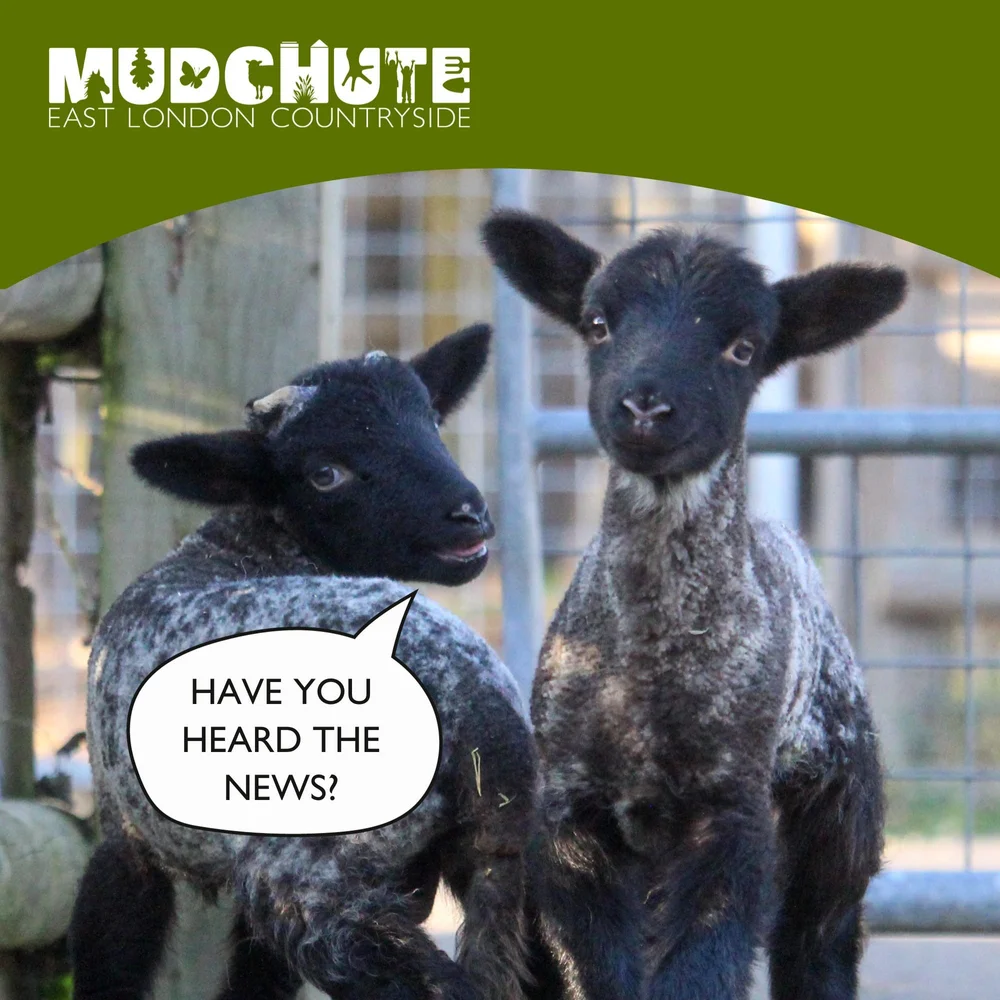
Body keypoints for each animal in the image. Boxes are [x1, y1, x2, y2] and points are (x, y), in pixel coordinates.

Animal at [69, 324, 537, 1000]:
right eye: (325, 474)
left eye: (433, 423)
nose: (467, 514)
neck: (245, 547)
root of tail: (483, 719)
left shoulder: (126, 836)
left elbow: (111, 962)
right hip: (502, 866)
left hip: (313, 879)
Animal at [482, 213, 907, 1000]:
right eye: (597, 325)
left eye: (743, 348)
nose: (645, 406)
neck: (649, 673)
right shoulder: (568, 816)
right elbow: (595, 968)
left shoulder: (730, 809)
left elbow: (703, 966)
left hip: (841, 804)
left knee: (820, 938)